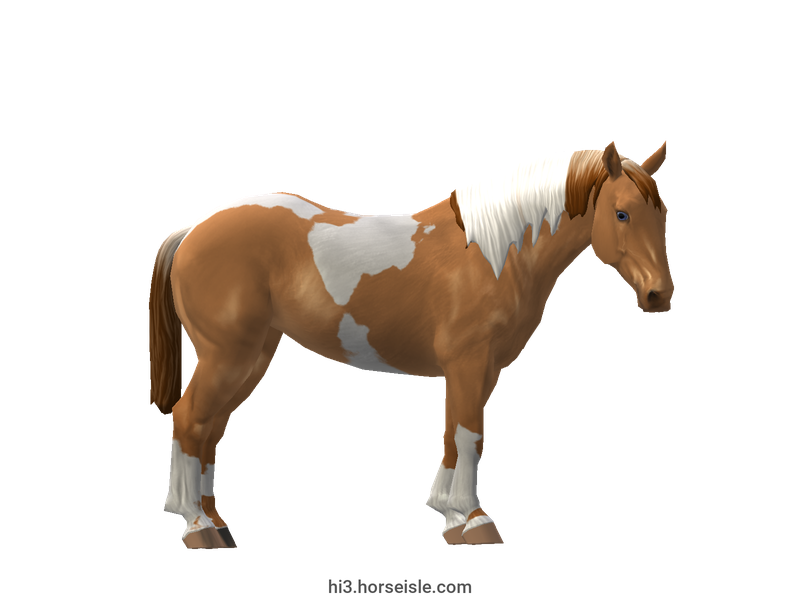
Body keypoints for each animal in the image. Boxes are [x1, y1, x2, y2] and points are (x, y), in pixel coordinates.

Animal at [148, 139, 674, 548]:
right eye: (622, 214)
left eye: (663, 215)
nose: (659, 295)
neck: (493, 254)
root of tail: (192, 230)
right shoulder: (468, 361)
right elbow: (470, 433)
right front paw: (476, 521)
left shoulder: (480, 369)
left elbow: (456, 434)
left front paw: (451, 517)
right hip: (227, 356)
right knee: (190, 419)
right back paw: (197, 527)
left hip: (252, 356)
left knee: (211, 429)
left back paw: (217, 523)